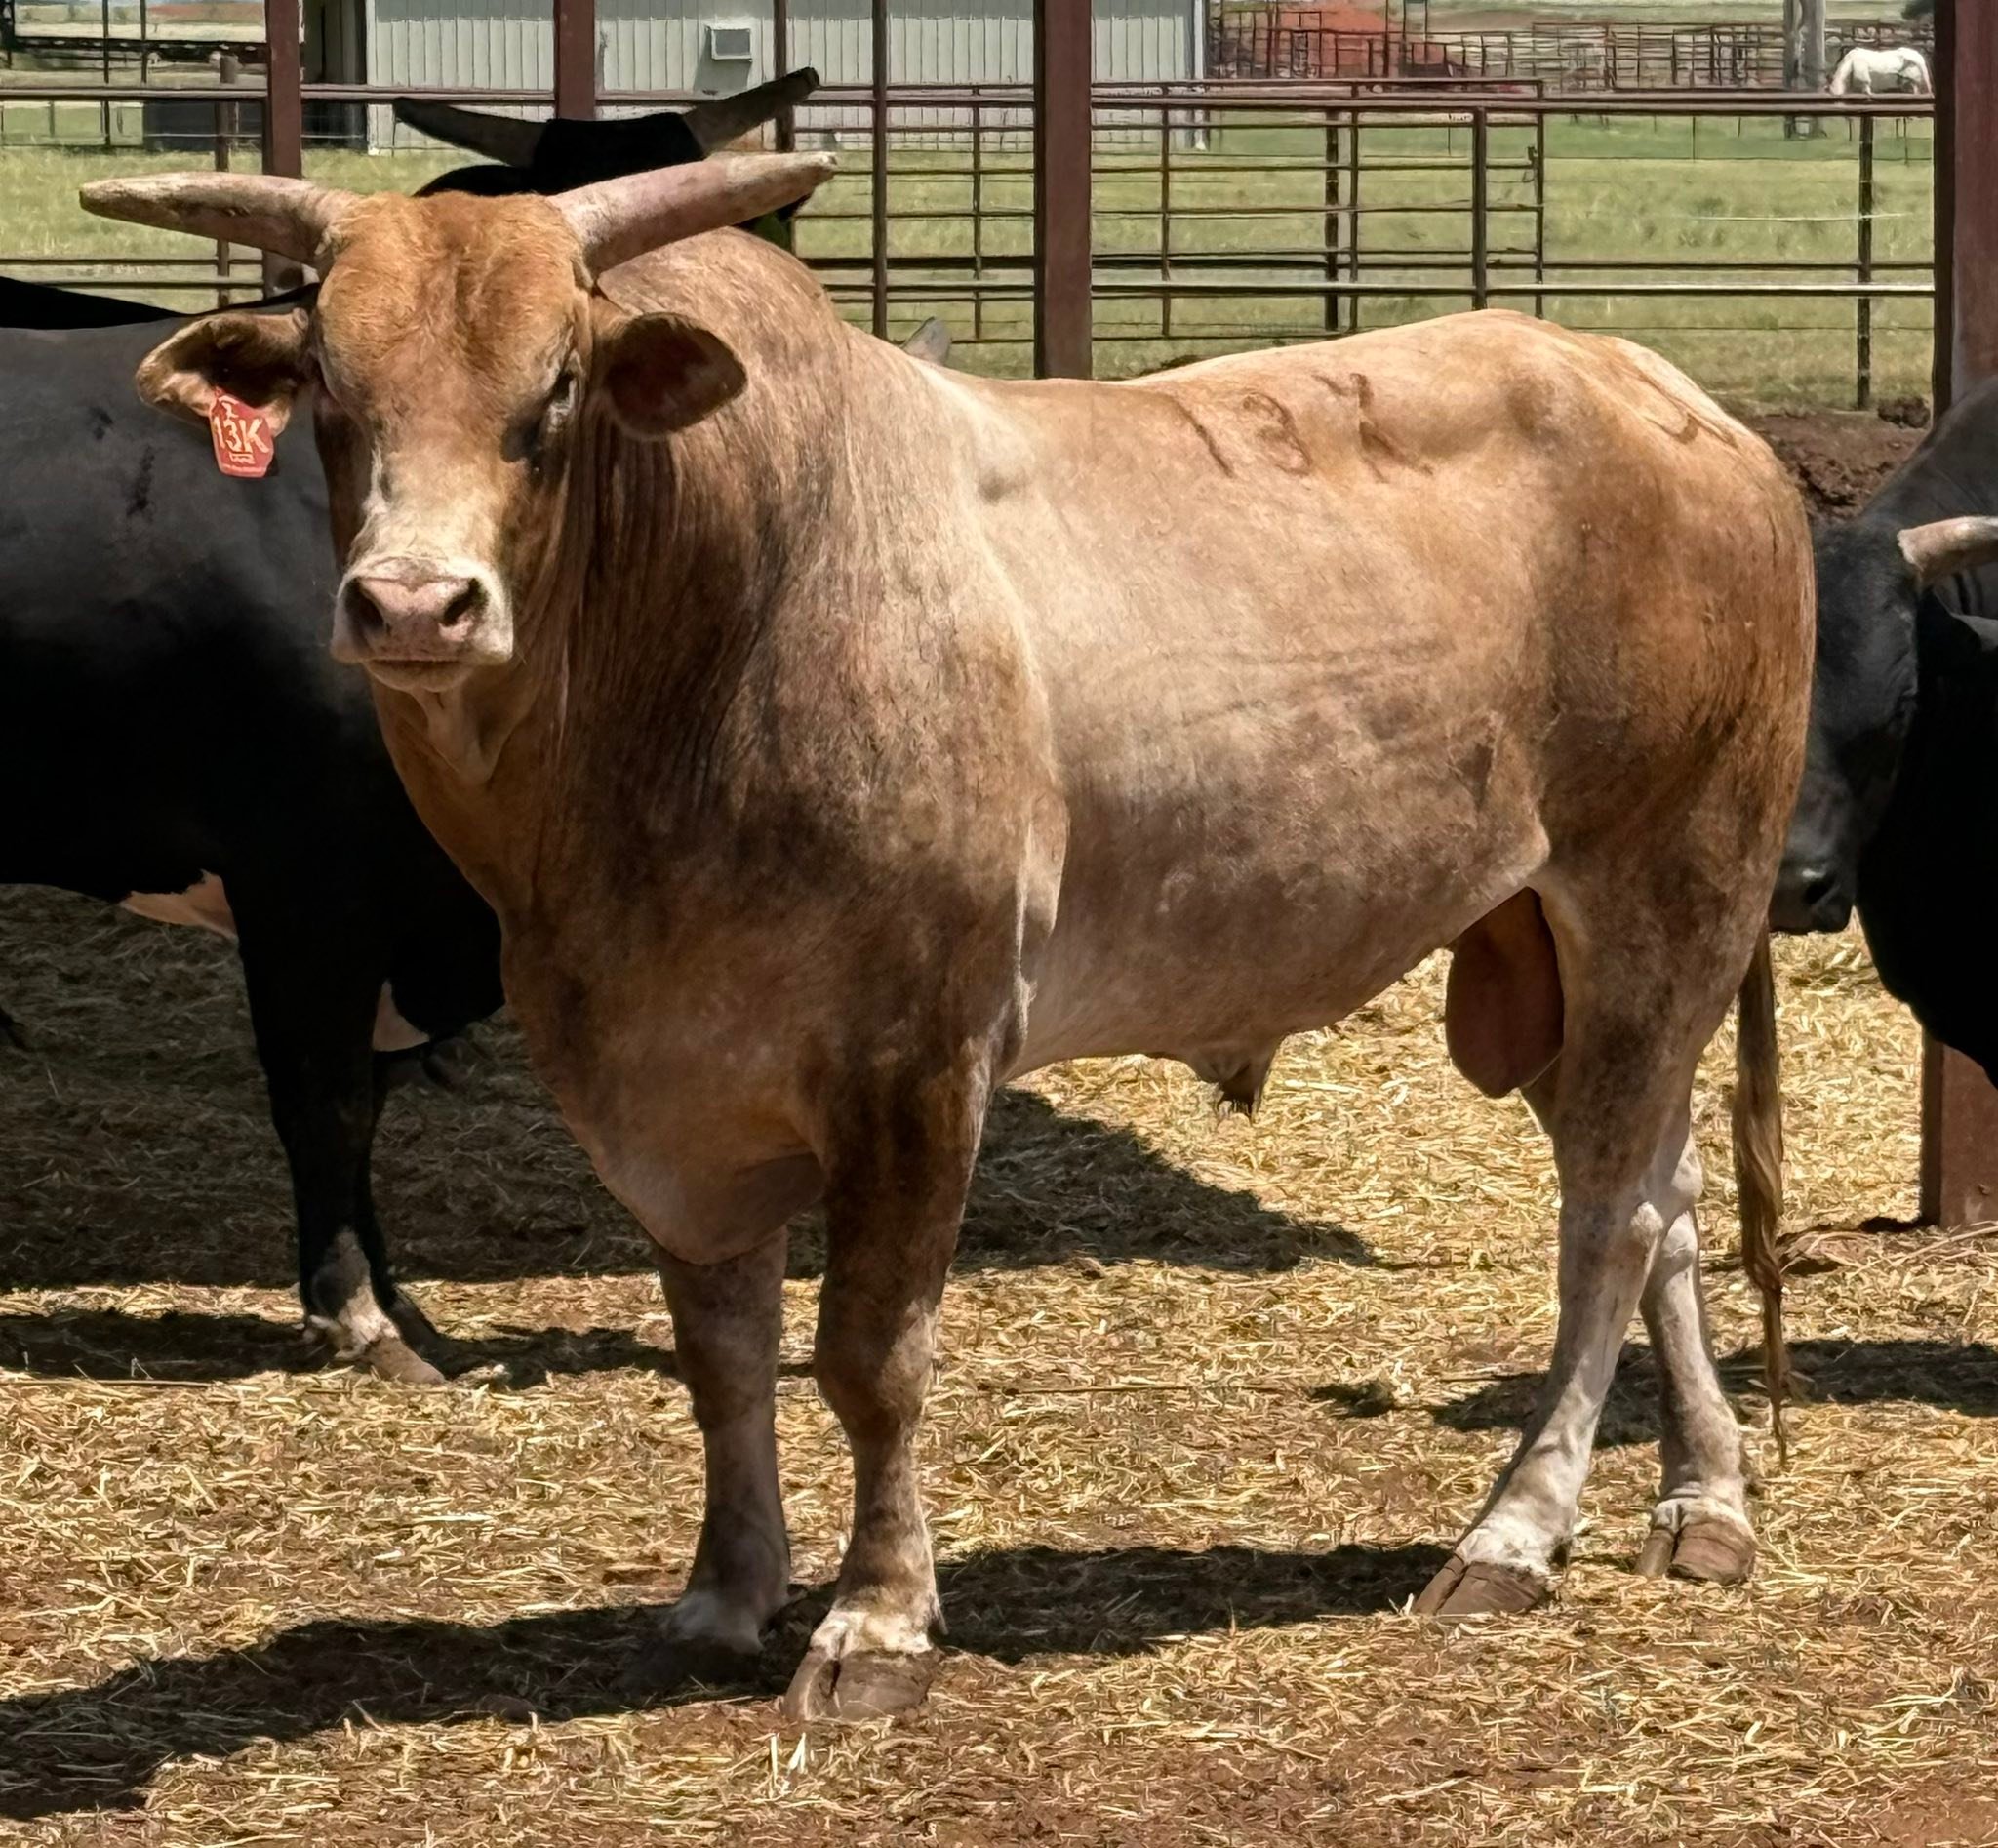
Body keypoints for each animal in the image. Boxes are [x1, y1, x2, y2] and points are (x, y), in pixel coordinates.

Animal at [0, 77, 817, 1385]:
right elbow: (324, 1099)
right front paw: (355, 1312)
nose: (416, 606)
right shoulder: (303, 887)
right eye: (329, 377)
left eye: (562, 382)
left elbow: (369, 1108)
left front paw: (399, 1299)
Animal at [84, 152, 1812, 1717]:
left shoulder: (920, 1059)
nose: (414, 605)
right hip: (1563, 956)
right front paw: (725, 1592)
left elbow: (867, 1353)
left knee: (1606, 1222)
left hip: (1667, 893)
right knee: (1661, 1198)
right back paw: (1703, 1498)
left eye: (555, 387)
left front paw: (877, 1620)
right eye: (330, 382)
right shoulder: (667, 1091)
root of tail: (1678, 398)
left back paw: (1517, 1529)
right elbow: (722, 1355)